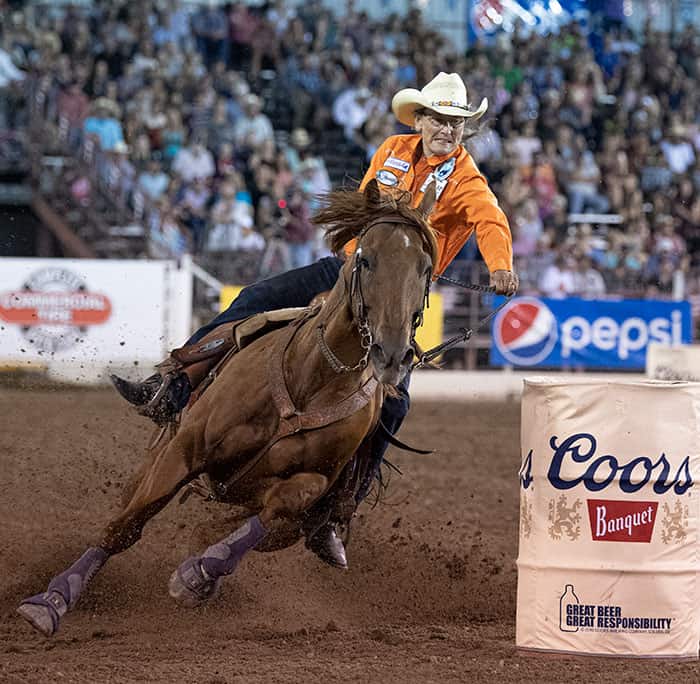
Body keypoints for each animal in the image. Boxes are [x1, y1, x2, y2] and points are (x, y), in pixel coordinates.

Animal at [17, 178, 438, 637]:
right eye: (366, 259)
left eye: (424, 269)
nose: (392, 353)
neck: (312, 379)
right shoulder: (184, 450)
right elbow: (126, 527)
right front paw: (52, 600)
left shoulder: (313, 483)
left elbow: (279, 505)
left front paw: (197, 574)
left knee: (231, 527)